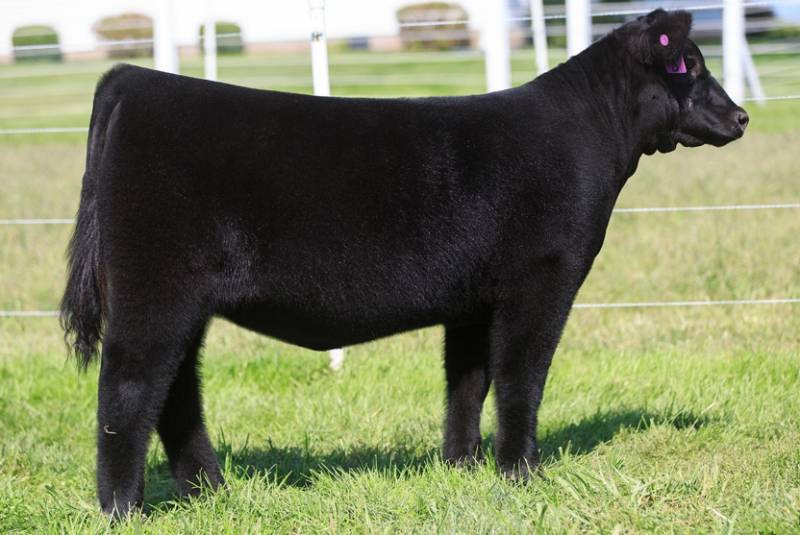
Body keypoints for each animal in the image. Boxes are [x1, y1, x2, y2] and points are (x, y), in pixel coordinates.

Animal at [61, 9, 748, 516]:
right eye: (689, 65)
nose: (740, 116)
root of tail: (135, 80)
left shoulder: (474, 299)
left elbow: (467, 382)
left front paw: (463, 466)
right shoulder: (542, 281)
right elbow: (521, 377)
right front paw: (521, 473)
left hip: (184, 302)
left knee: (177, 390)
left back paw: (210, 492)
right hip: (154, 291)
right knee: (129, 388)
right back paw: (123, 509)